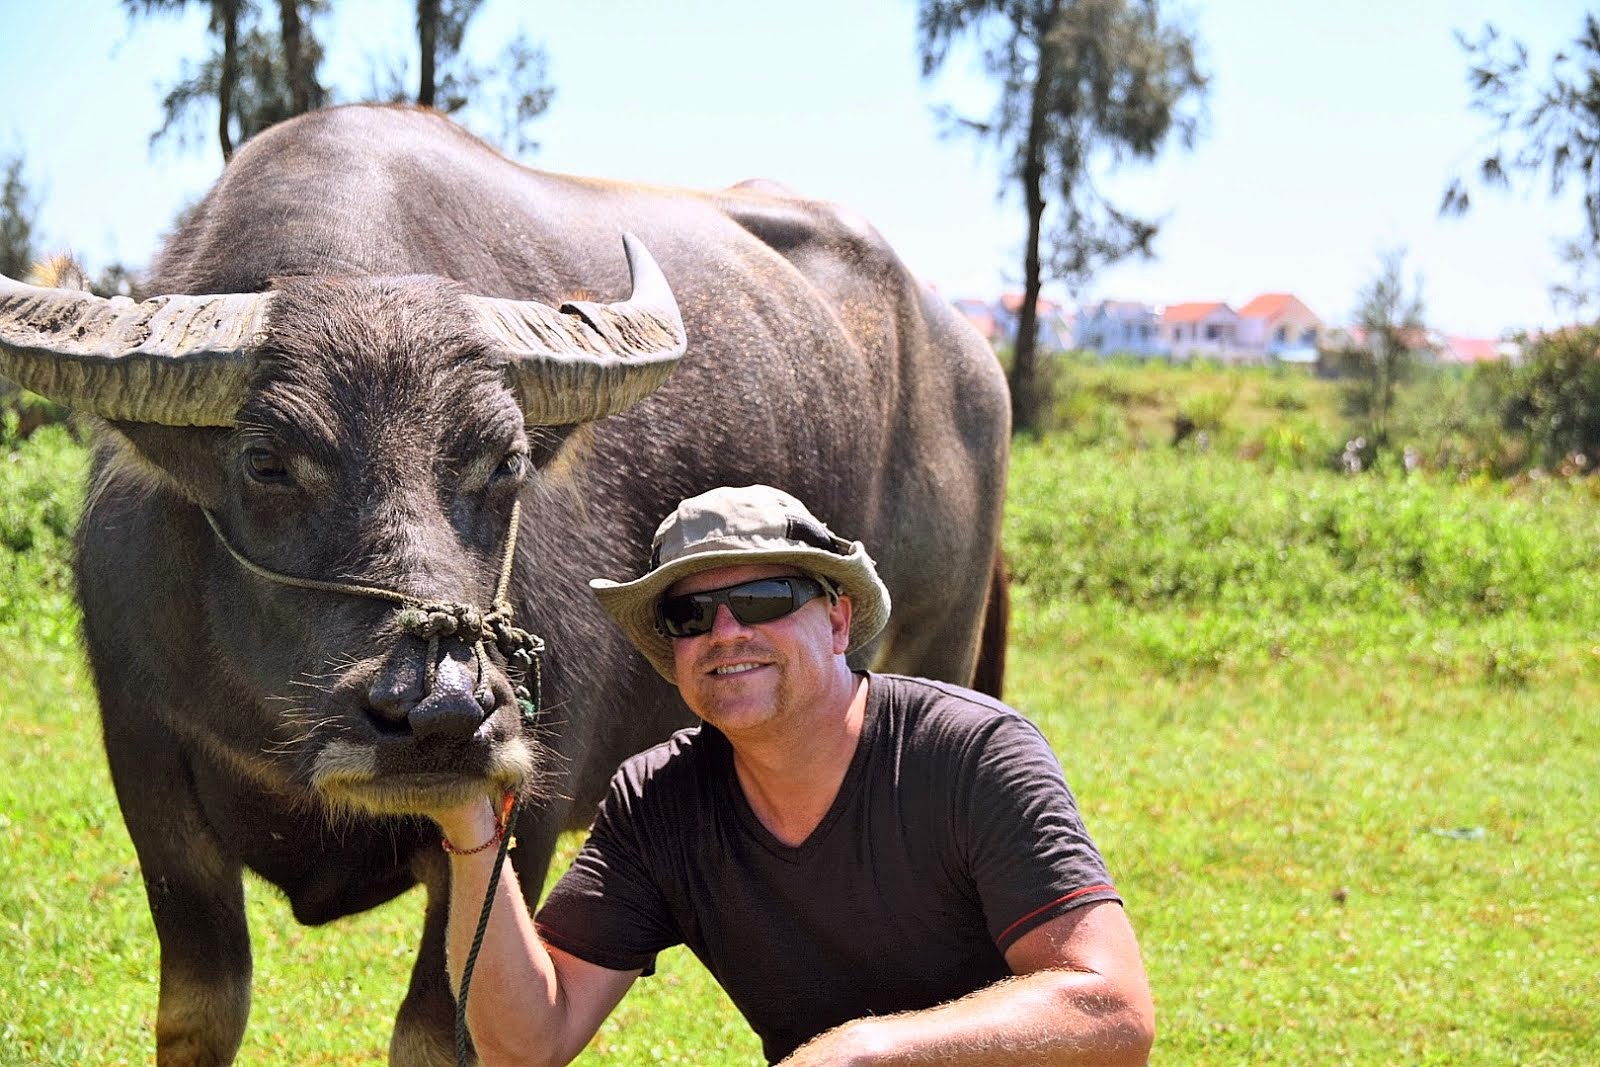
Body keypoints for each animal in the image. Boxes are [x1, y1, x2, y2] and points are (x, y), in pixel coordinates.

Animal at [0, 104, 1010, 1066]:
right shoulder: (150, 778)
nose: (442, 708)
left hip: (938, 640)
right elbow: (199, 1015)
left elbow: (438, 1034)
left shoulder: (532, 809)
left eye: (506, 461)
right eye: (266, 461)